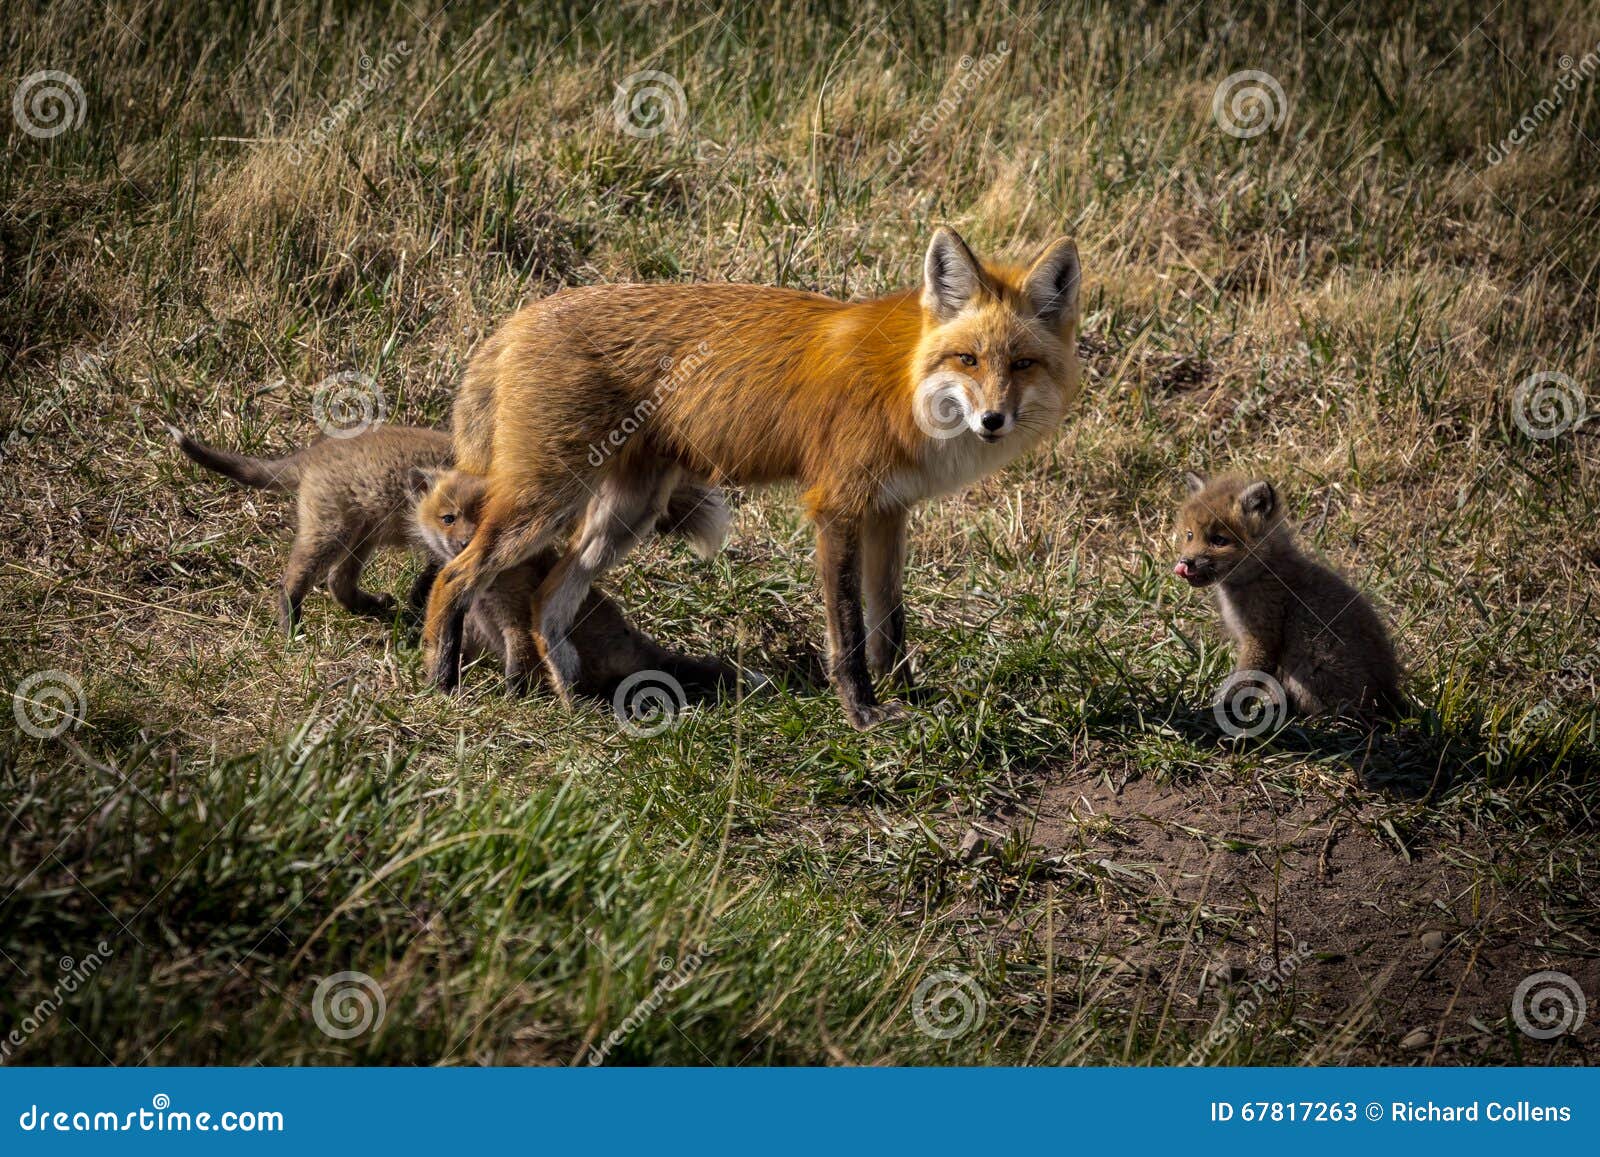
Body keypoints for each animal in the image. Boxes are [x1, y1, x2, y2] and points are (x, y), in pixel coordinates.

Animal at [410, 467, 743, 698]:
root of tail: (643, 649)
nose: (466, 544)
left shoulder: (517, 620)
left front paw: (513, 701)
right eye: (449, 518)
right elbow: (450, 650)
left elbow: (518, 668)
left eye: (485, 521)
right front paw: (441, 683)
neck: (485, 597)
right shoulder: (471, 624)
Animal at [1174, 472, 1403, 718]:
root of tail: (1389, 695)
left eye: (1218, 540)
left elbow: (1244, 680)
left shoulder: (1261, 639)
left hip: (1311, 671)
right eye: (1189, 535)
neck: (1261, 573)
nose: (1185, 562)